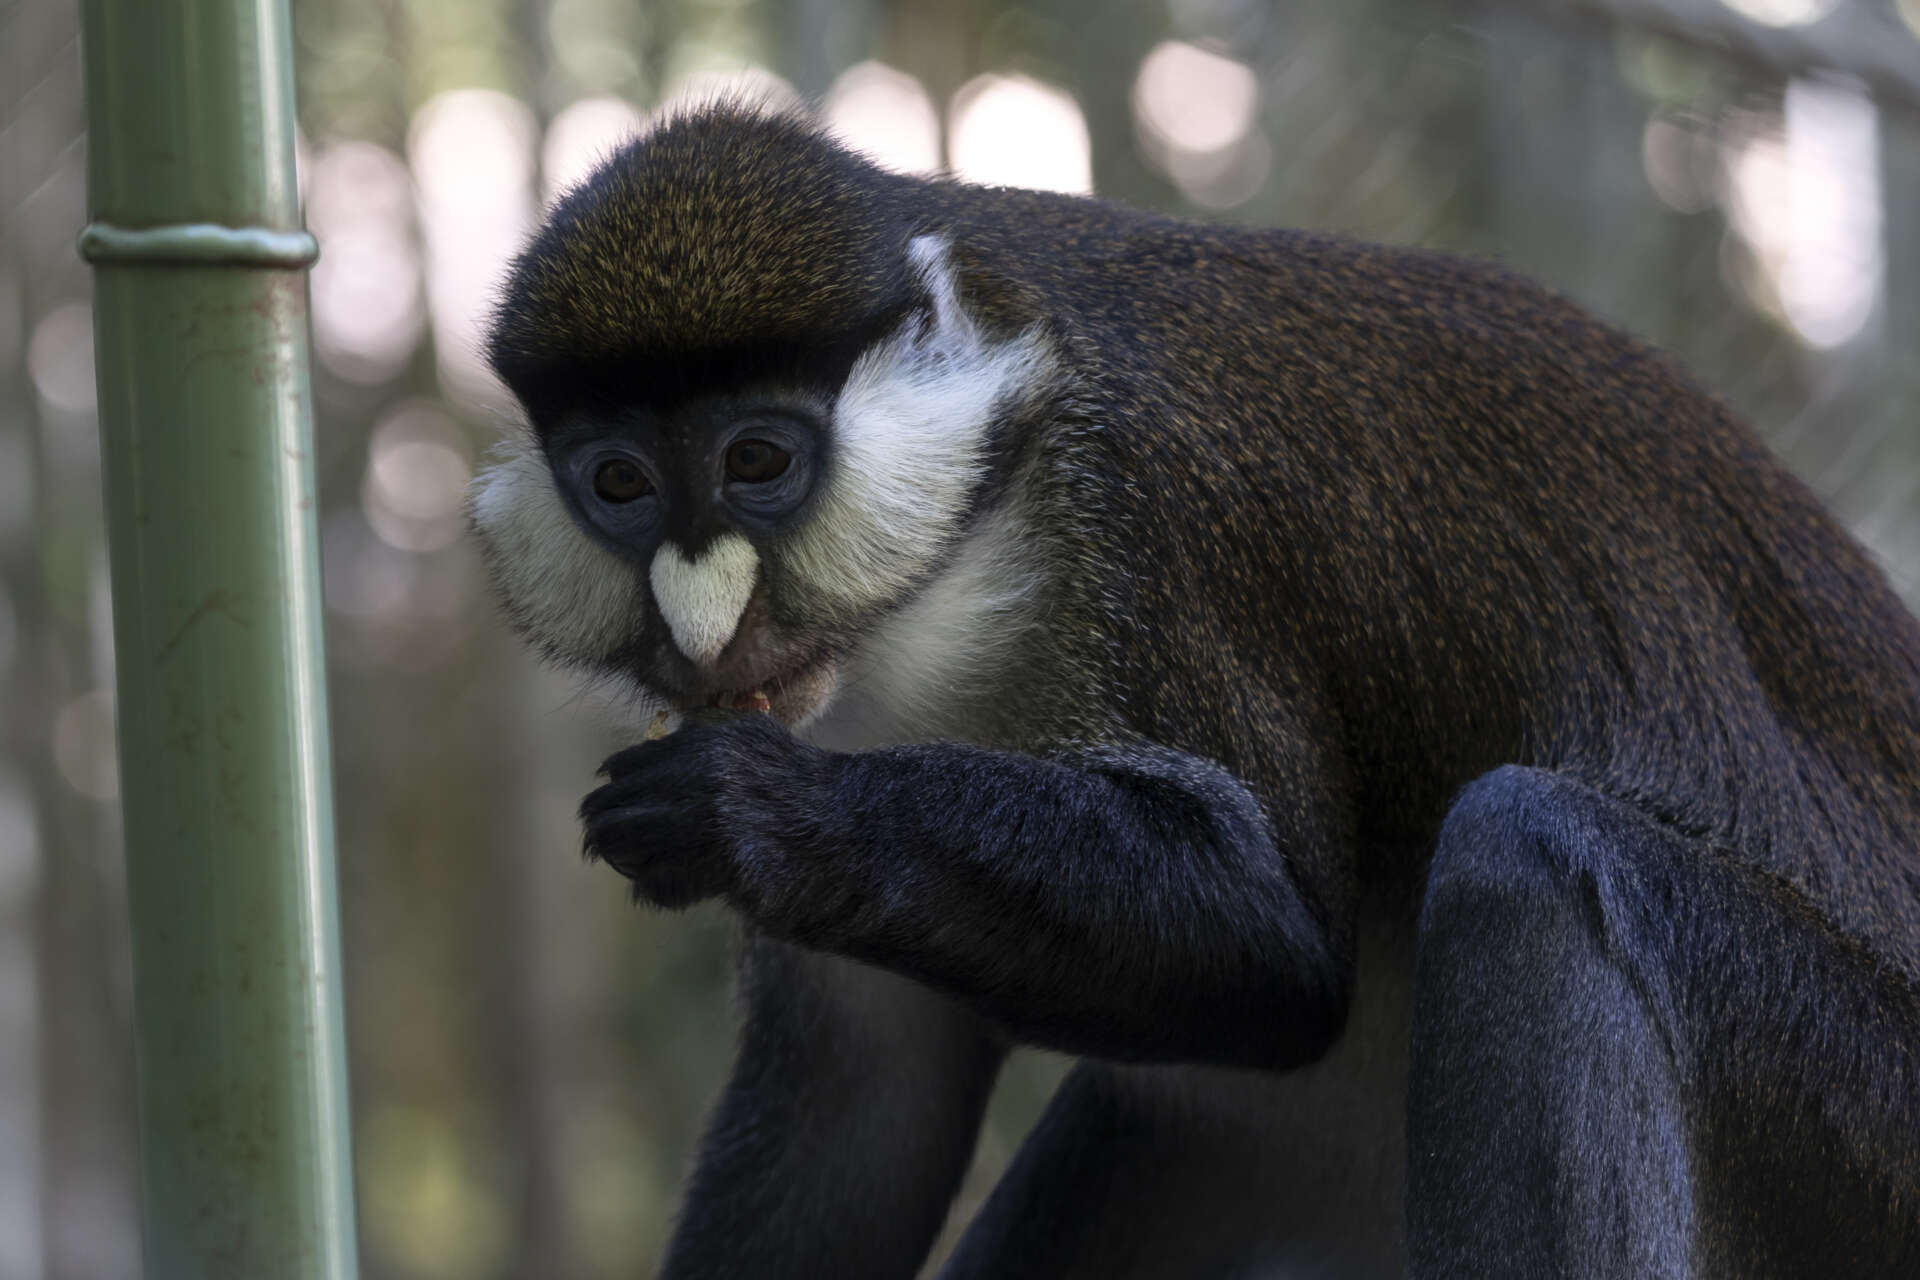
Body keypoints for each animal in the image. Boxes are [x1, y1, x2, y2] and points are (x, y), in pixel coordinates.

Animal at [469, 103, 1920, 1278]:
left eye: (758, 460)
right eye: (619, 483)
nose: (700, 618)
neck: (965, 548)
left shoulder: (1160, 516)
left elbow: (1274, 940)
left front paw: (743, 807)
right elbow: (858, 1095)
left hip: (1866, 1114)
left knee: (1530, 861)